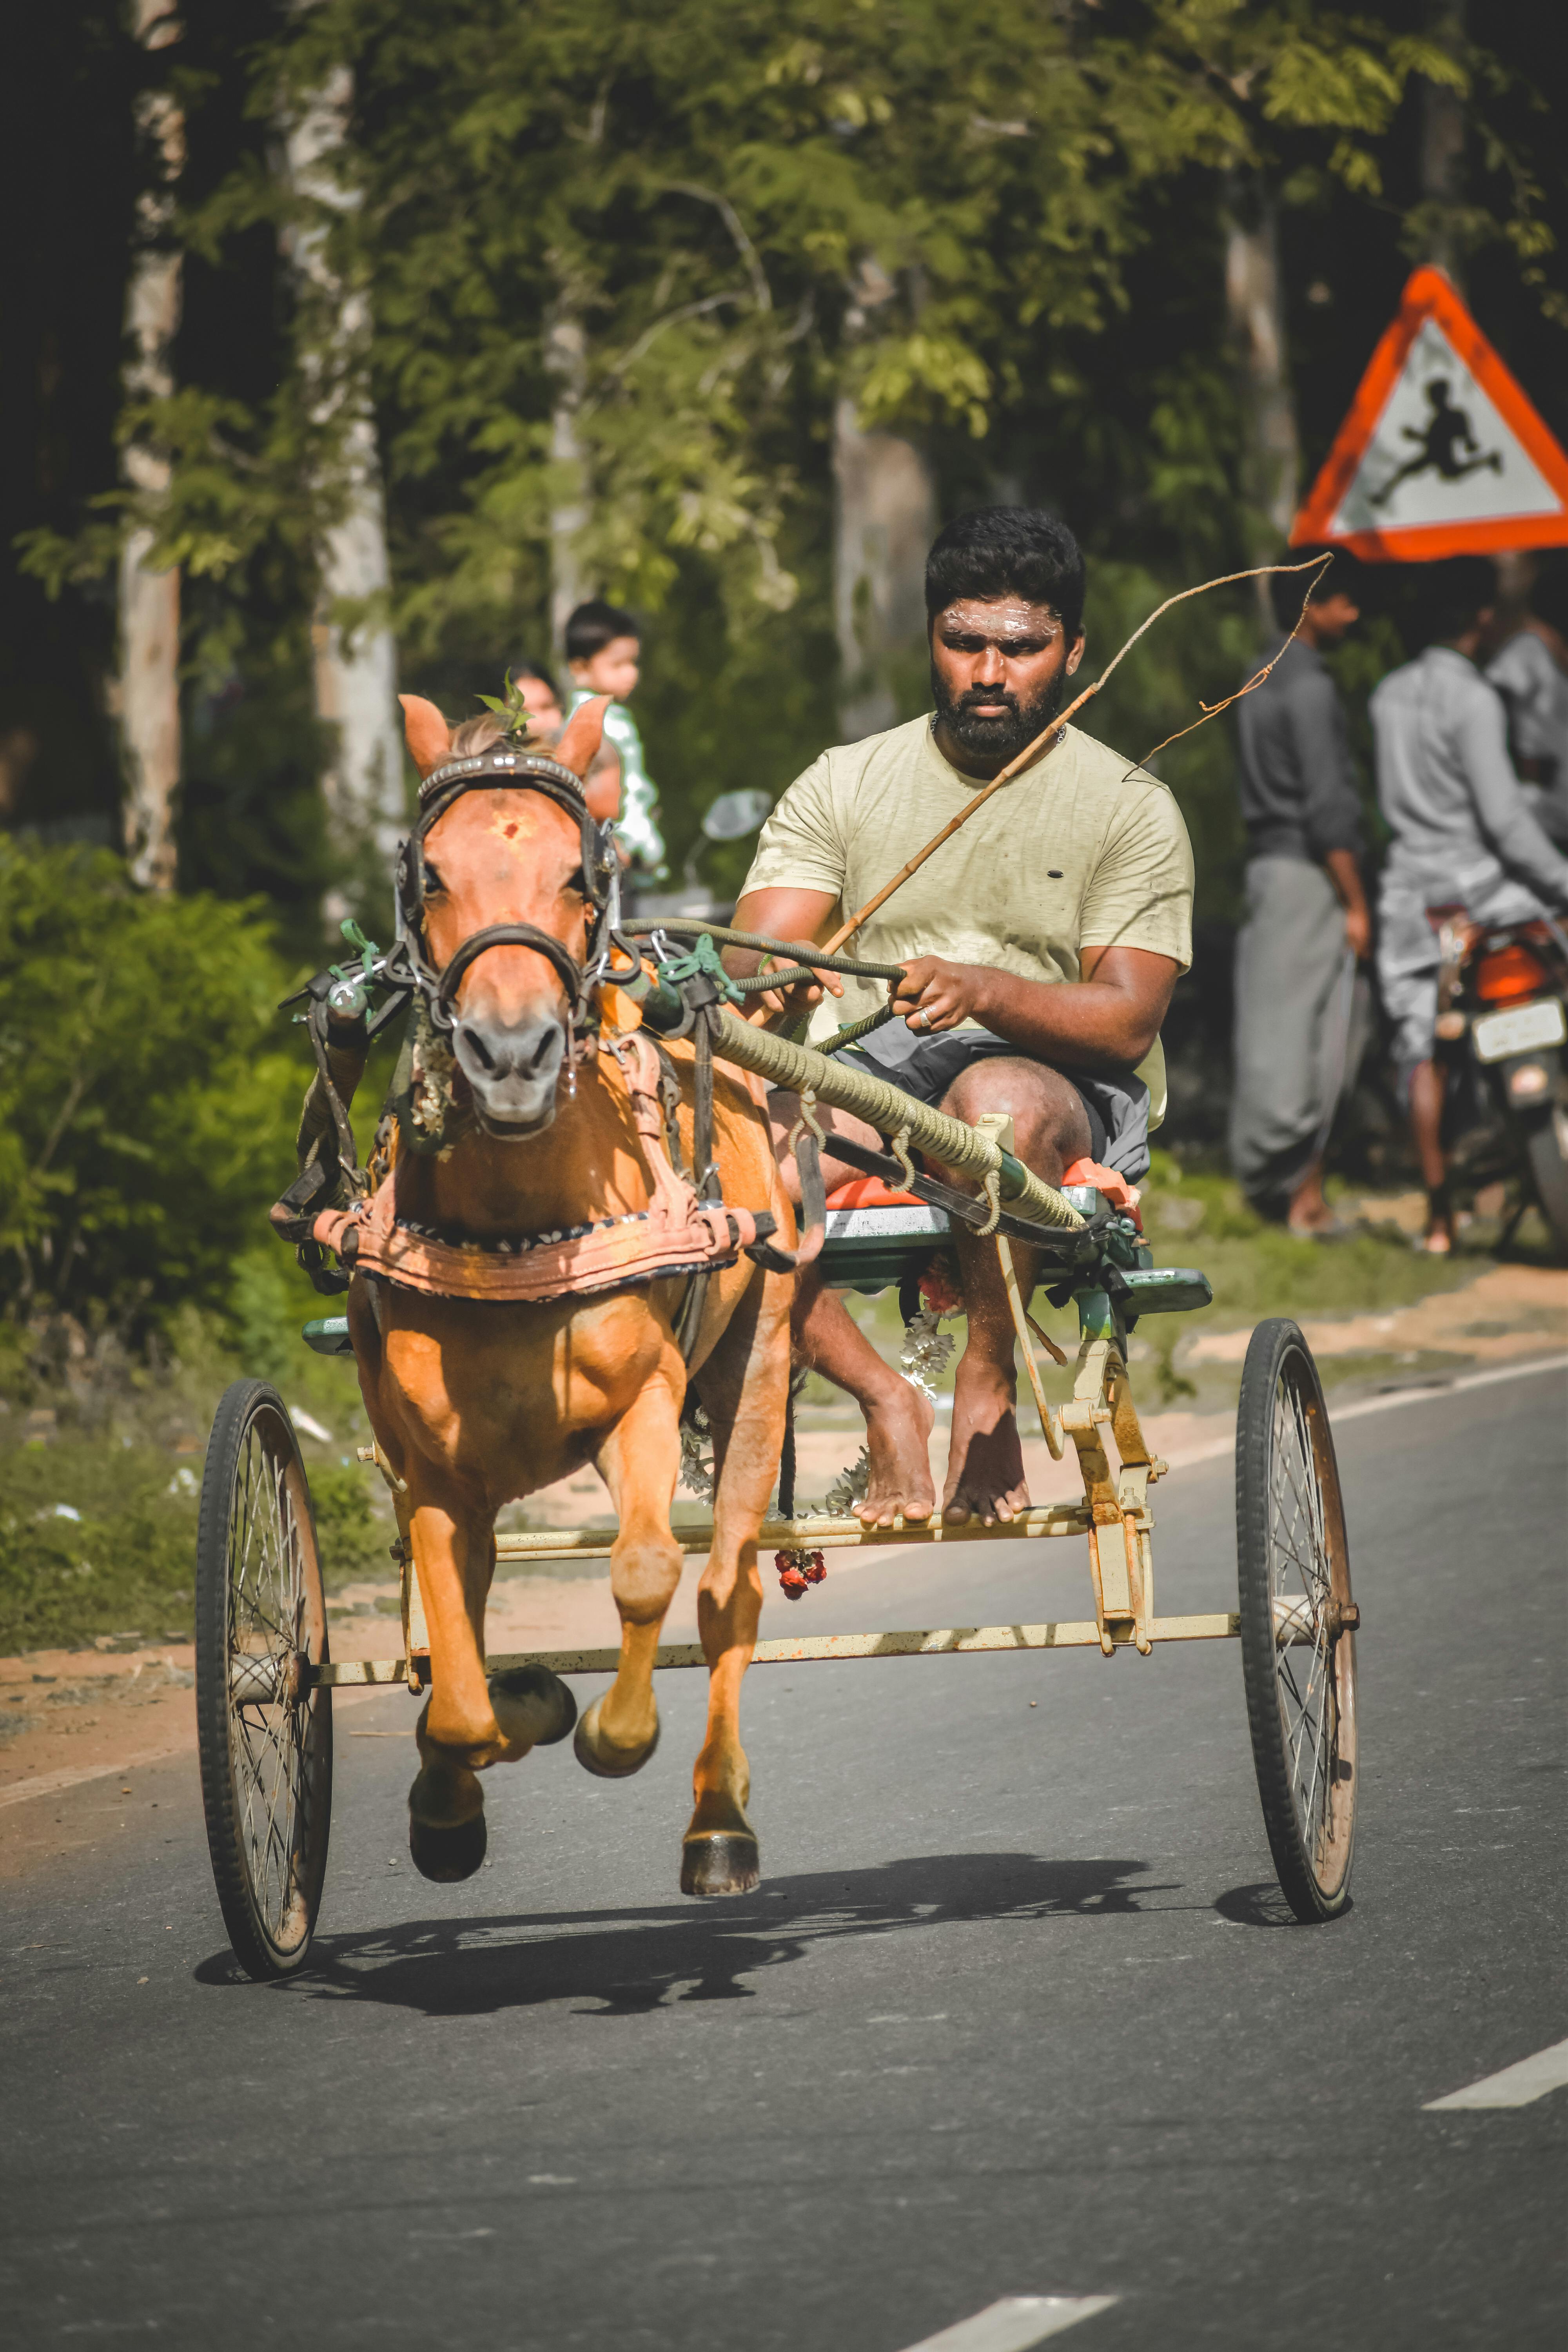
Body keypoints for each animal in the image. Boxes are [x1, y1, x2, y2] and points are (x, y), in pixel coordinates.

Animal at [340, 693, 794, 1896]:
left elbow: (644, 1571)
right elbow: (453, 1680)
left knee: (728, 1590)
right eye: (430, 875)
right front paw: (478, 1757)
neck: (522, 1236)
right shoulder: (428, 1464)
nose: (510, 1054)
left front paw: (600, 1729)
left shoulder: (645, 1397)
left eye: (579, 877)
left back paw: (718, 1820)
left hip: (761, 1362)